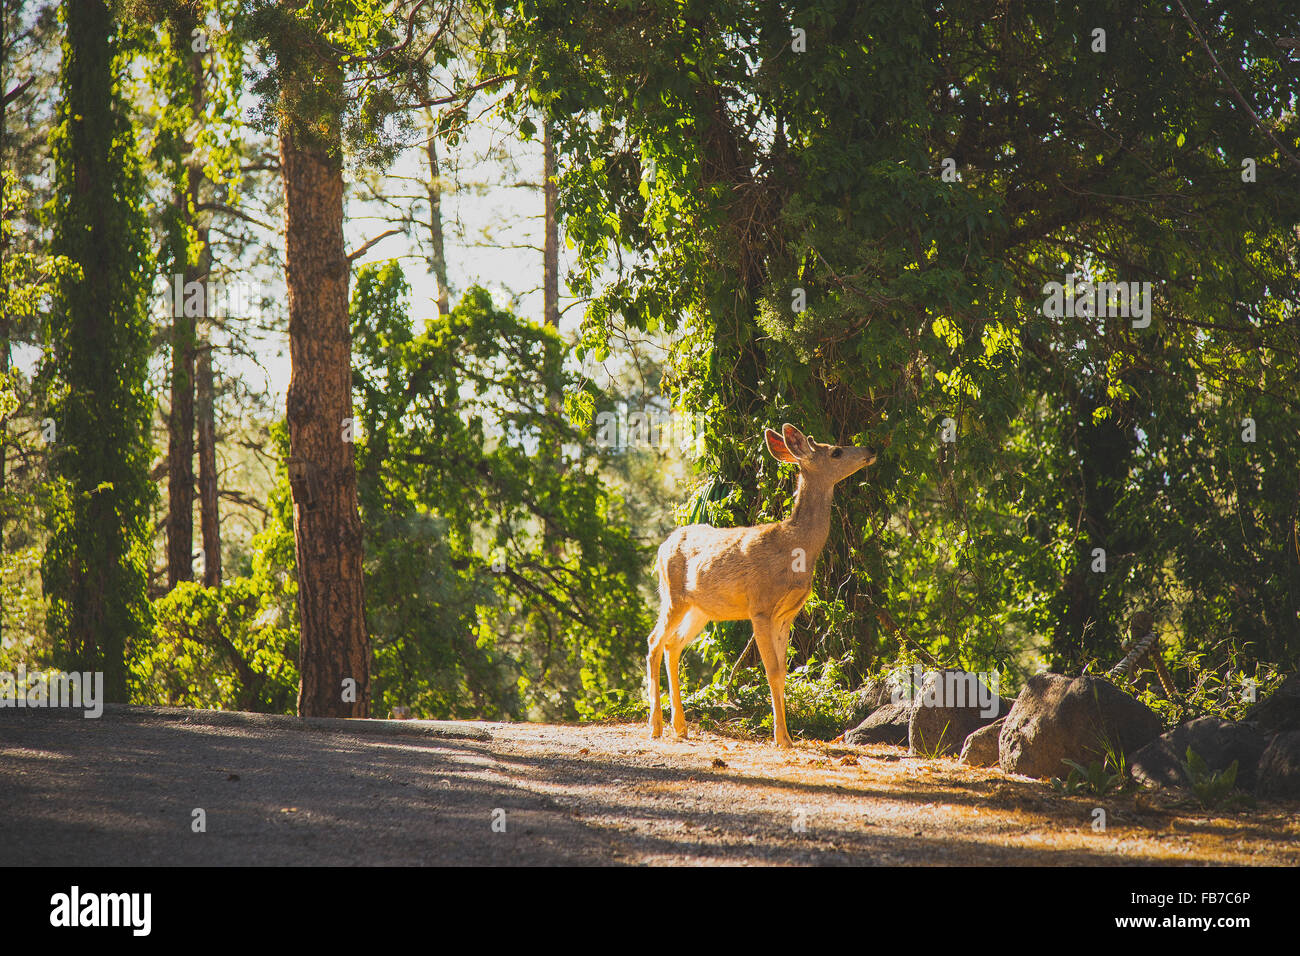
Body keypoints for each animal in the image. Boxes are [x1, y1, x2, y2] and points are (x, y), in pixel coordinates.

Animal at [646, 423, 877, 748]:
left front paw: (787, 736)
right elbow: (771, 669)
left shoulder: (787, 614)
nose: (871, 449)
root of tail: (662, 546)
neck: (796, 548)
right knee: (654, 641)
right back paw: (655, 726)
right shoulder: (761, 607)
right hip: (673, 595)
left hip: (701, 609)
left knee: (673, 644)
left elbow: (782, 672)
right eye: (836, 452)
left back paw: (680, 726)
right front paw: (781, 737)